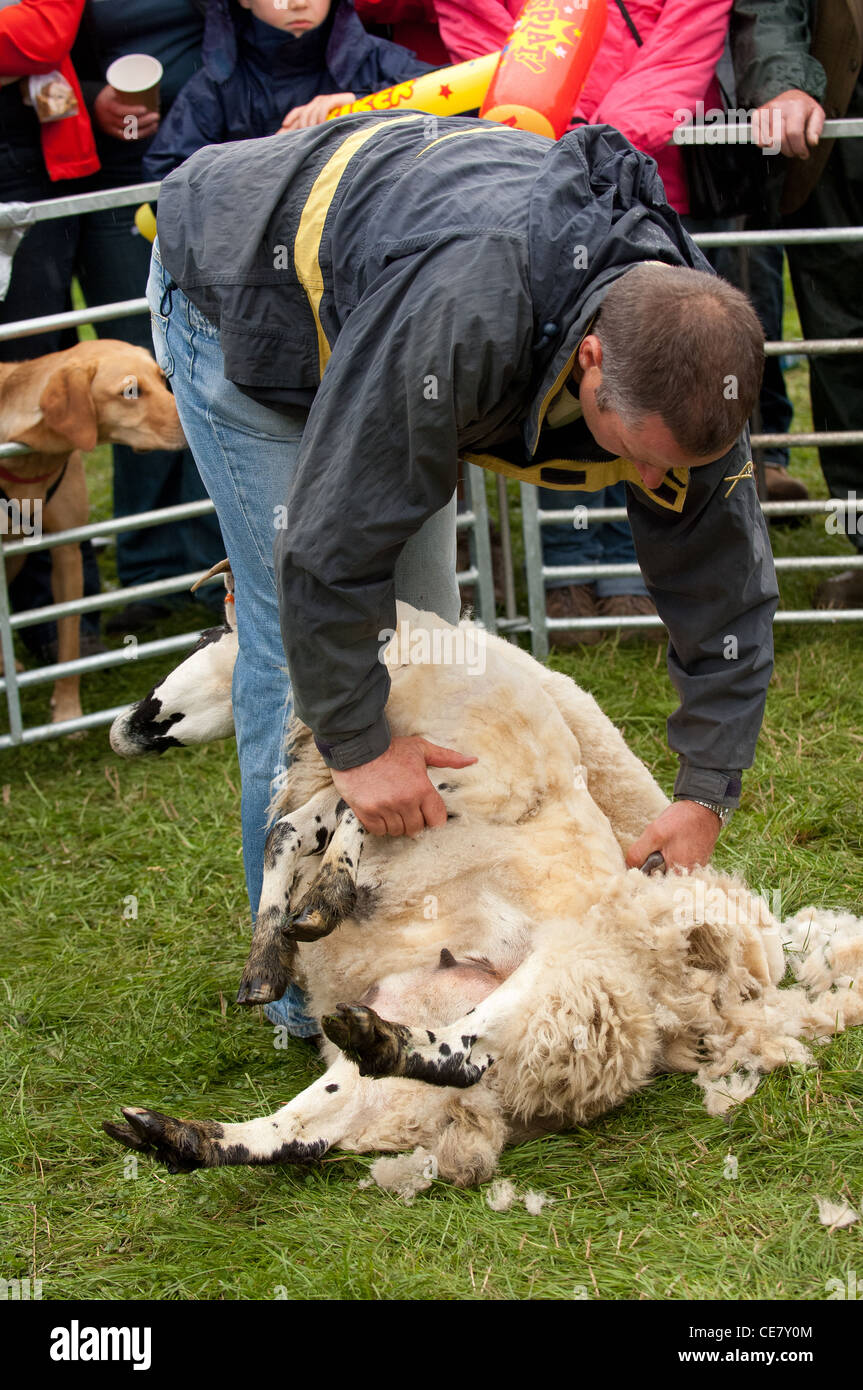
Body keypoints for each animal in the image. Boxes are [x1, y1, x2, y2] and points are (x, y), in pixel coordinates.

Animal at [104, 604, 863, 1189]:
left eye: (206, 637)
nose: (120, 728)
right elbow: (290, 829)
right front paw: (270, 957)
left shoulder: (479, 773)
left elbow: (357, 812)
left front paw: (324, 898)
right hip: (400, 1062)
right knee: (311, 1129)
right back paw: (179, 1136)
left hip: (571, 980)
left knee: (468, 1047)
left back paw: (382, 1043)